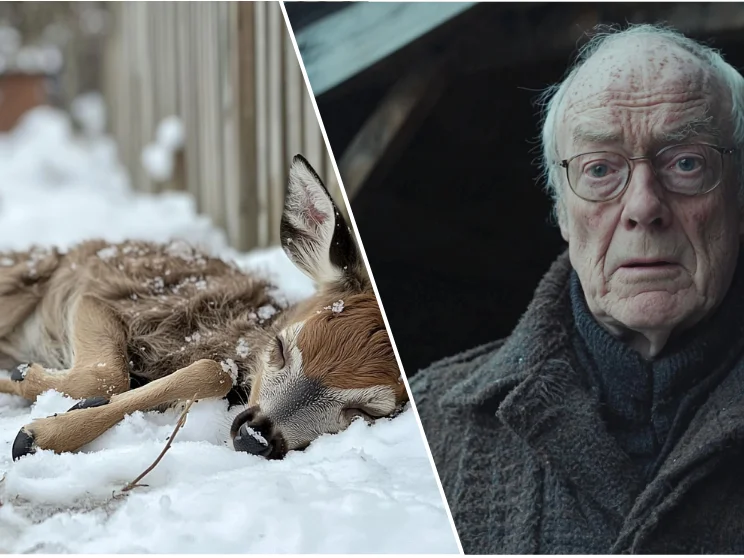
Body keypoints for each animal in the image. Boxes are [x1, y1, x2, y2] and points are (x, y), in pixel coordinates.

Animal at [0, 155, 407, 461]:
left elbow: (210, 371)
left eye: (366, 412)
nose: (255, 437)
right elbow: (113, 375)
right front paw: (32, 419)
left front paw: (48, 425)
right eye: (279, 348)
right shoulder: (95, 291)